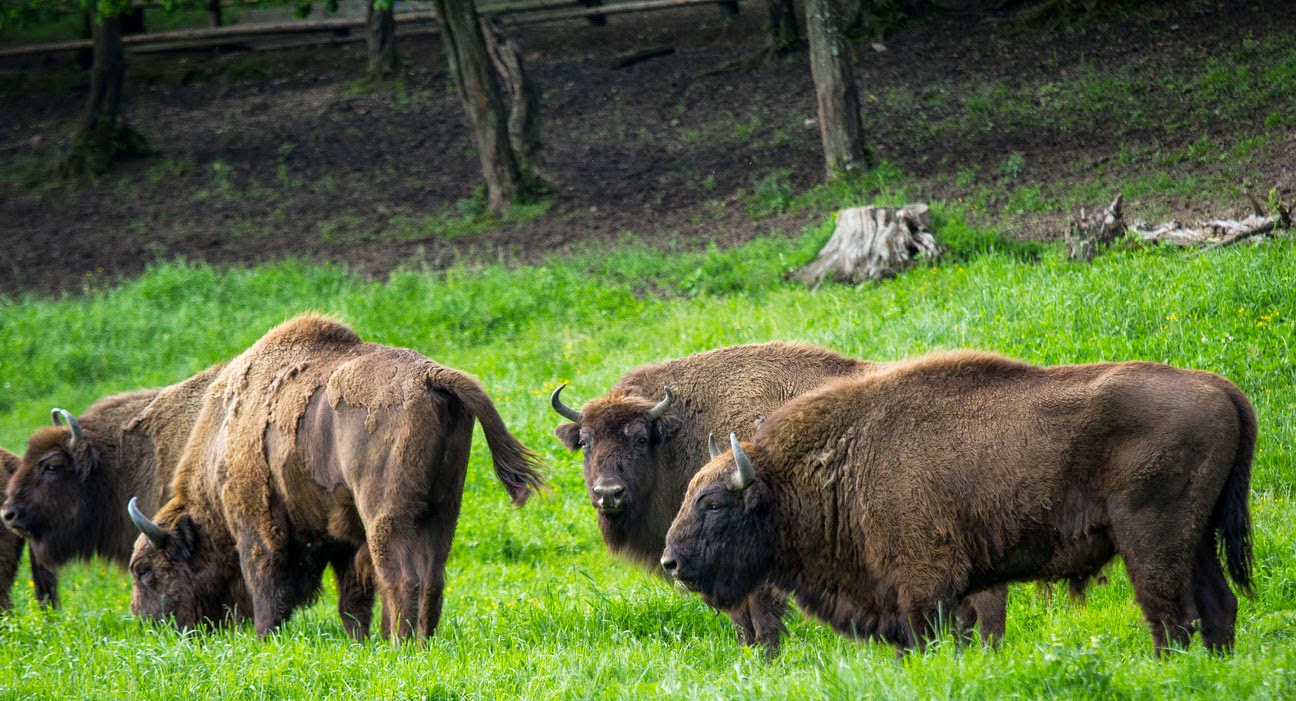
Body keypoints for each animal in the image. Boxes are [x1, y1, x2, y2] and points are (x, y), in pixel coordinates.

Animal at [127, 315, 546, 639]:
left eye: (145, 570)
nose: (146, 622)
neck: (223, 440)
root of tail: (432, 375)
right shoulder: (344, 538)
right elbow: (352, 601)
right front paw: (357, 642)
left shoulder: (257, 528)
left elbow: (266, 591)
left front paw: (263, 640)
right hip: (443, 511)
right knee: (431, 579)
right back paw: (418, 641)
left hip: (387, 517)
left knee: (401, 579)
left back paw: (400, 644)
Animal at [663, 351, 1254, 655]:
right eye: (688, 494)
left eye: (713, 504)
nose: (671, 561)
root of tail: (1222, 388)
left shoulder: (925, 590)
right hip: (1197, 539)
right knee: (1218, 607)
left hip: (1151, 541)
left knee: (1170, 617)